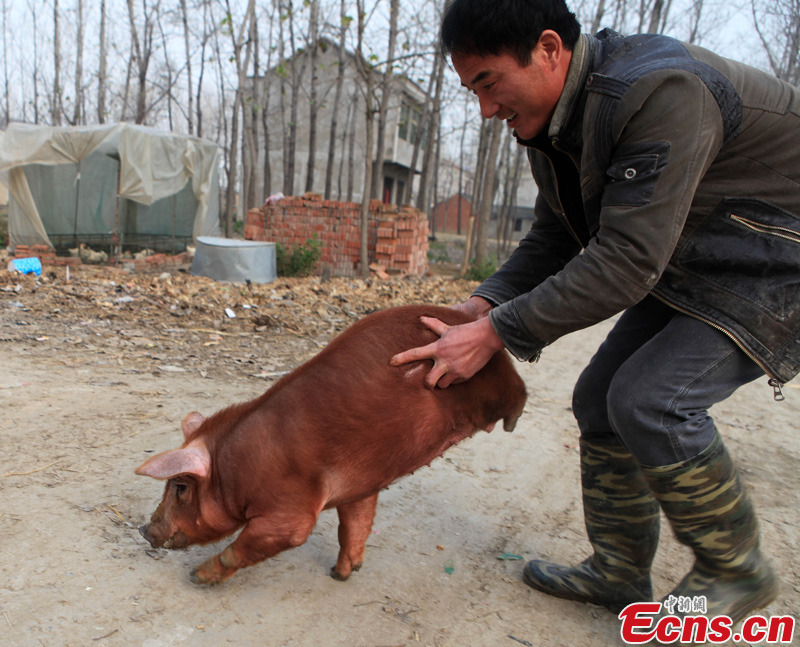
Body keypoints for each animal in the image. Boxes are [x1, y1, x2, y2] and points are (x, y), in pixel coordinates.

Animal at [135, 304, 527, 585]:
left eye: (180, 487)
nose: (143, 529)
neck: (233, 471)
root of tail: (470, 320)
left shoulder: (291, 511)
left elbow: (251, 544)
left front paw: (196, 577)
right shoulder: (361, 487)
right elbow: (354, 525)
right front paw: (342, 574)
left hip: (495, 379)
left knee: (520, 392)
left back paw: (511, 422)